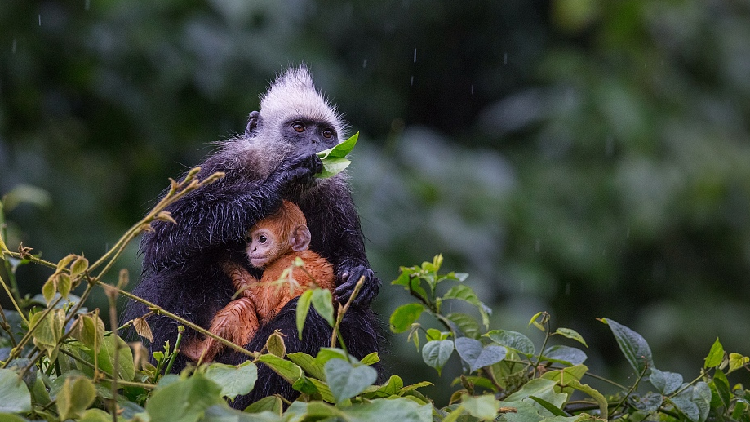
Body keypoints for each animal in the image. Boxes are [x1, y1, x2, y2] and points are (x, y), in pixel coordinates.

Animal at [181, 200, 335, 363]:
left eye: (262, 239)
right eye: (249, 240)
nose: (252, 249)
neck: (291, 253)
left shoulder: (278, 269)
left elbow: (263, 307)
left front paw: (223, 257)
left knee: (241, 306)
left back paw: (197, 352)